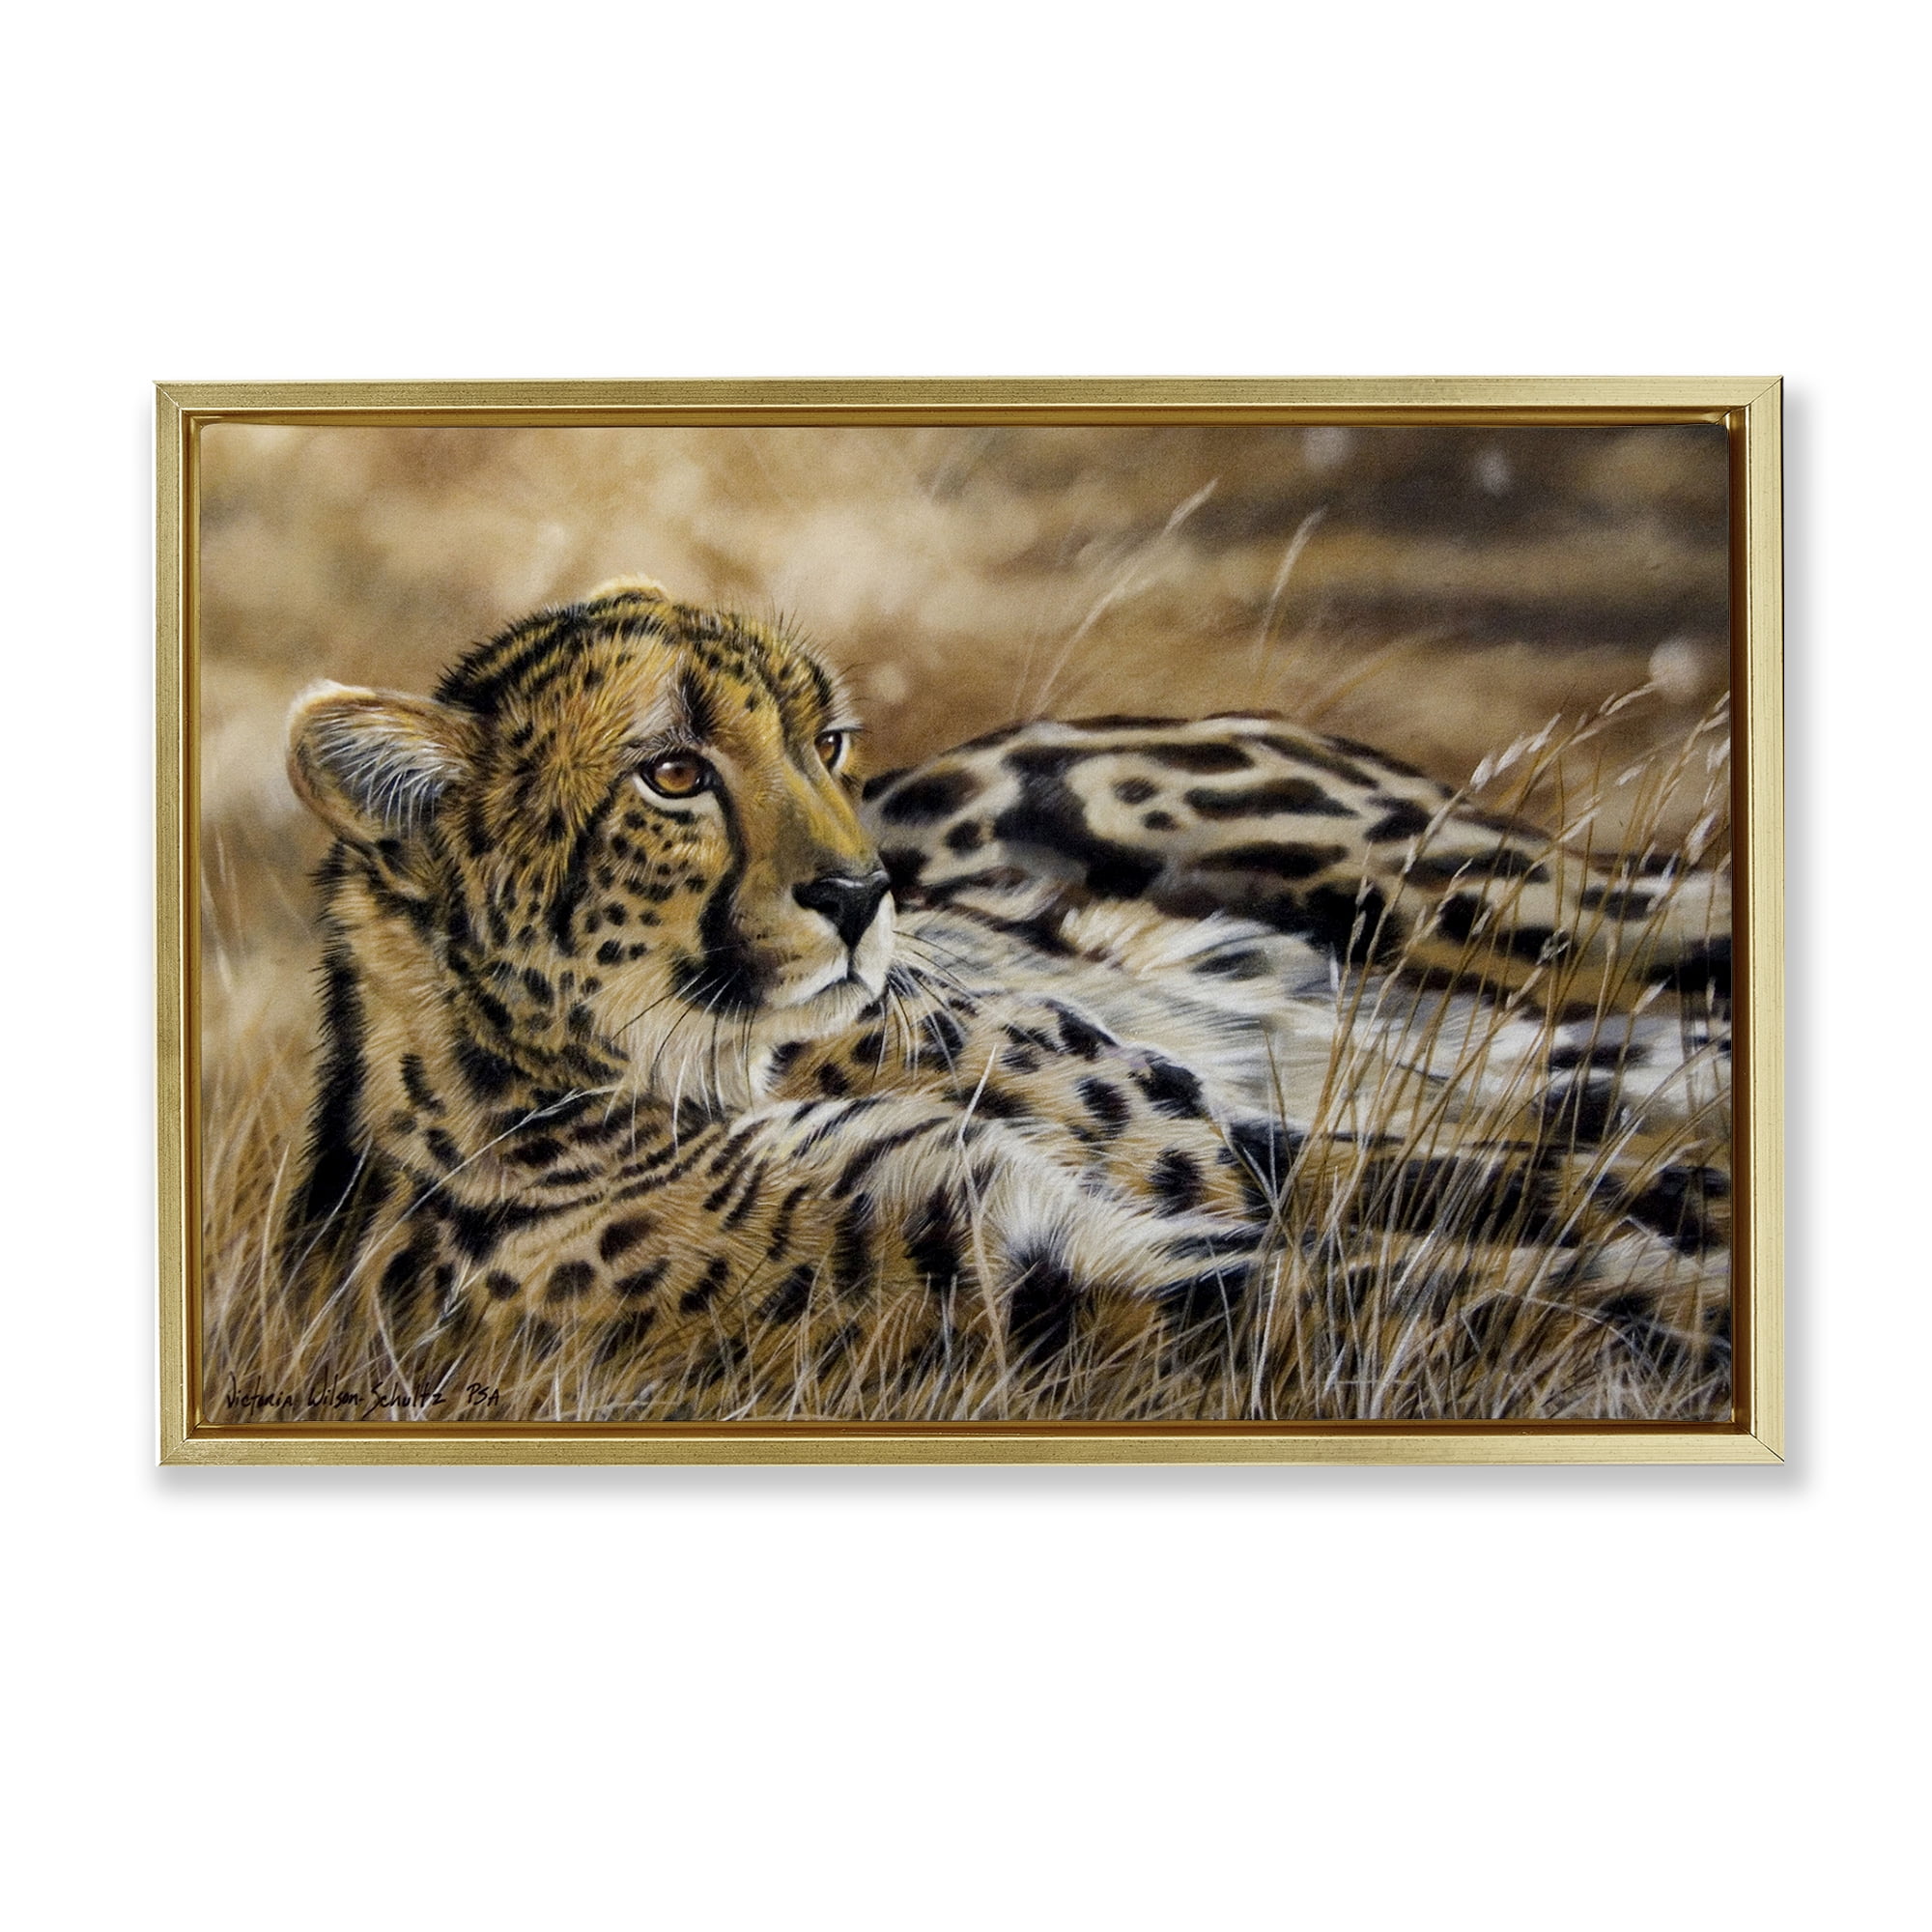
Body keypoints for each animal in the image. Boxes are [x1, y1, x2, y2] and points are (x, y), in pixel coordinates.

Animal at [273, 576, 1733, 1422]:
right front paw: (1684, 1302)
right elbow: (1465, 1281)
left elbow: (1513, 1199)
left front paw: (1687, 1250)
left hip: (1473, 896)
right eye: (672, 773)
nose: (865, 891)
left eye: (825, 742)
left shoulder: (1209, 1156)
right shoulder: (1056, 1274)